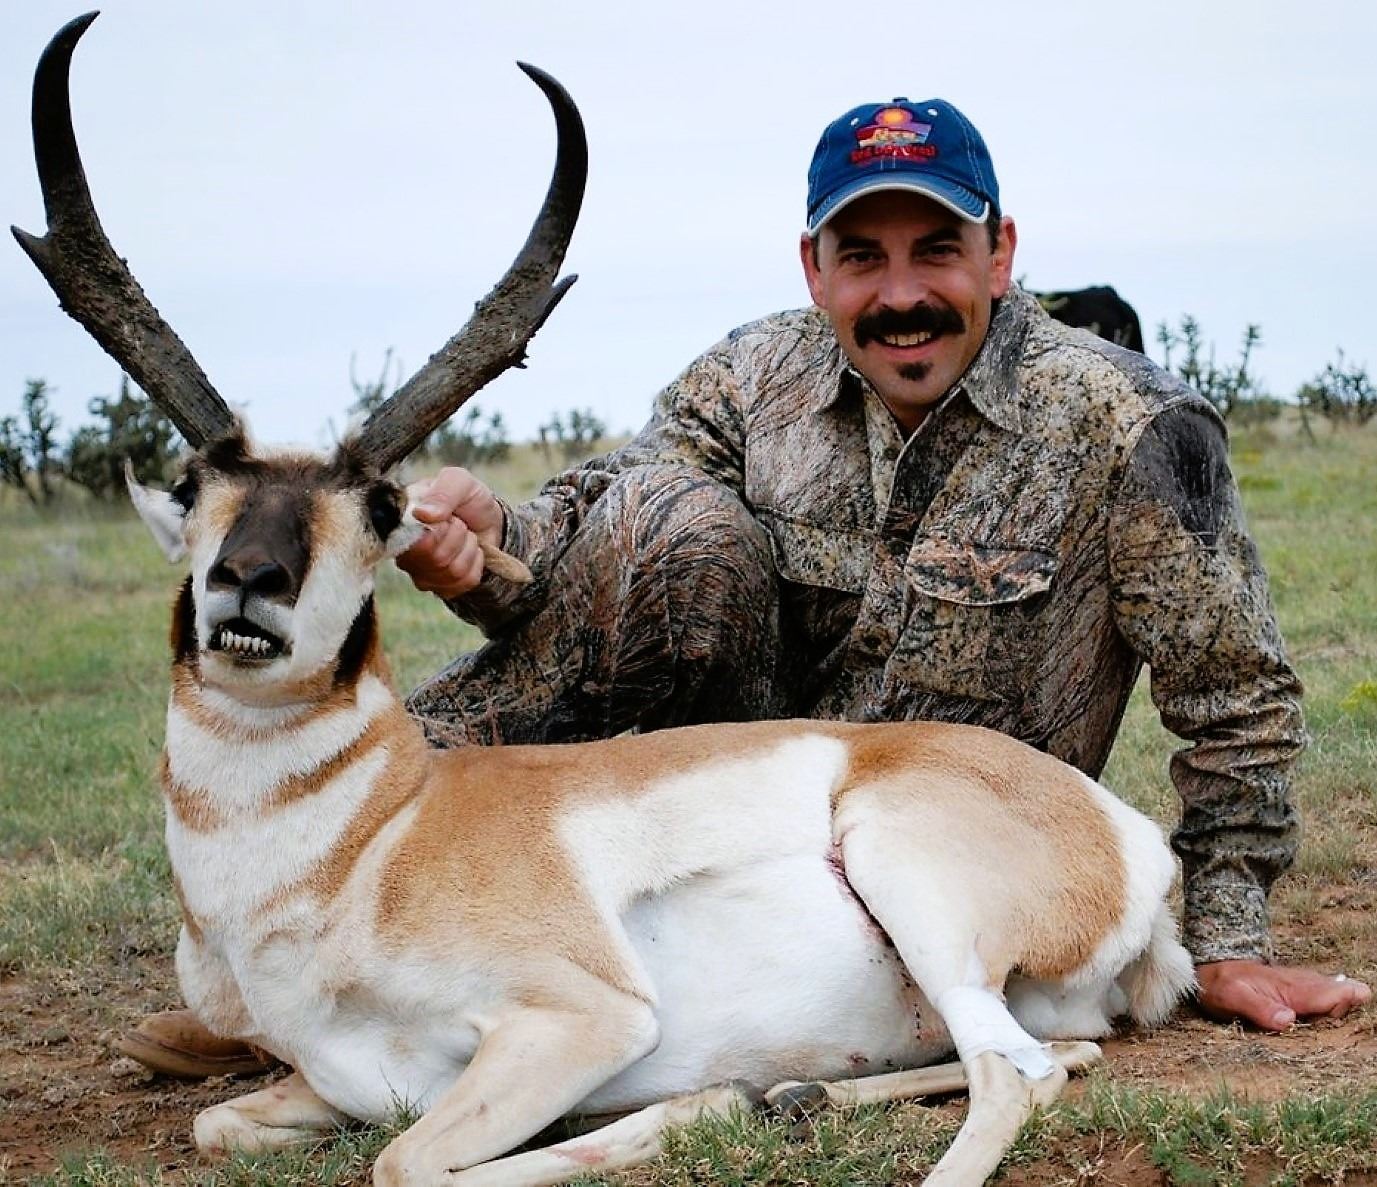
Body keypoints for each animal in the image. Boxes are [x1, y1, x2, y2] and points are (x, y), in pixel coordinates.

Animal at [16, 13, 1195, 1186]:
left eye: (379, 504)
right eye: (193, 490)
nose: (249, 583)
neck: (373, 832)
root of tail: (1125, 835)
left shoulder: (584, 1019)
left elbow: (401, 1162)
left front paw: (701, 1104)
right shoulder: (330, 1082)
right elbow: (223, 1122)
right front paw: (726, 1100)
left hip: (914, 894)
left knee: (1017, 1074)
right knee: (1057, 1052)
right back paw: (787, 1091)